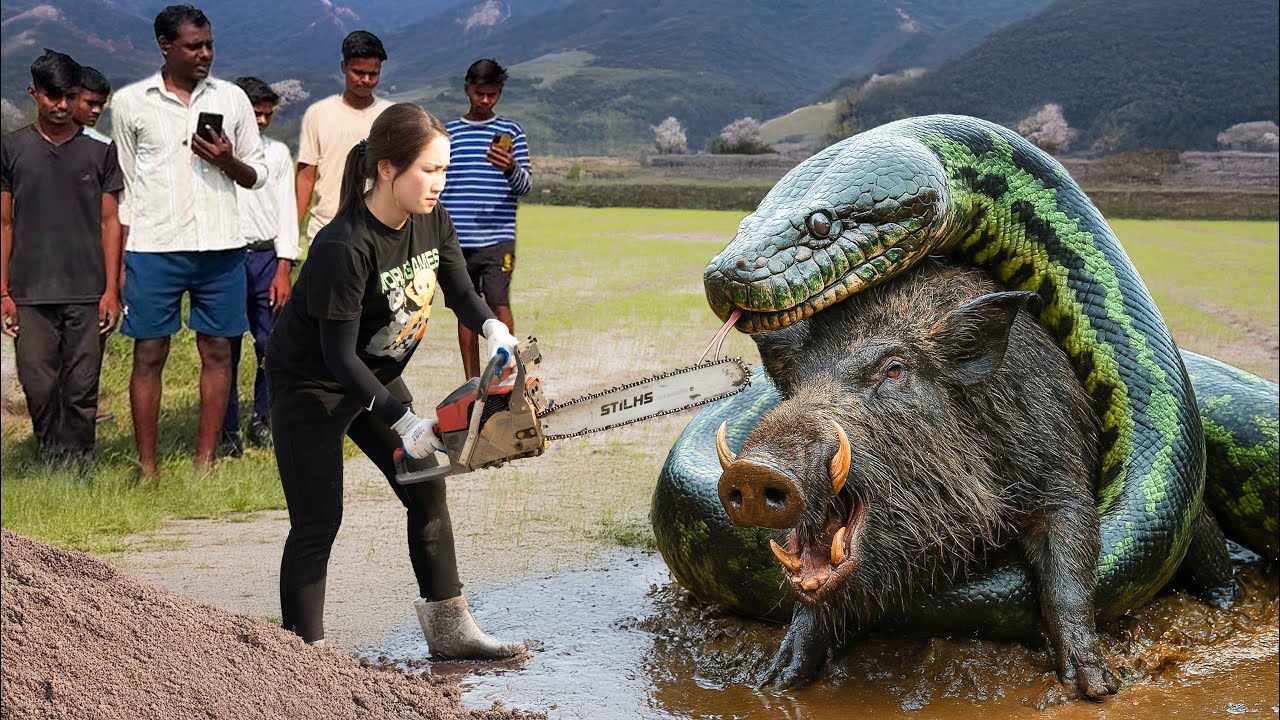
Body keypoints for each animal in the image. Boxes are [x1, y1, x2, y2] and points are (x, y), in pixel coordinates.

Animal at [715, 258, 1119, 698]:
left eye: (894, 370)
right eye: (795, 380)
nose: (754, 468)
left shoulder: (1059, 472)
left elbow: (1069, 571)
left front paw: (1097, 688)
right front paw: (775, 683)